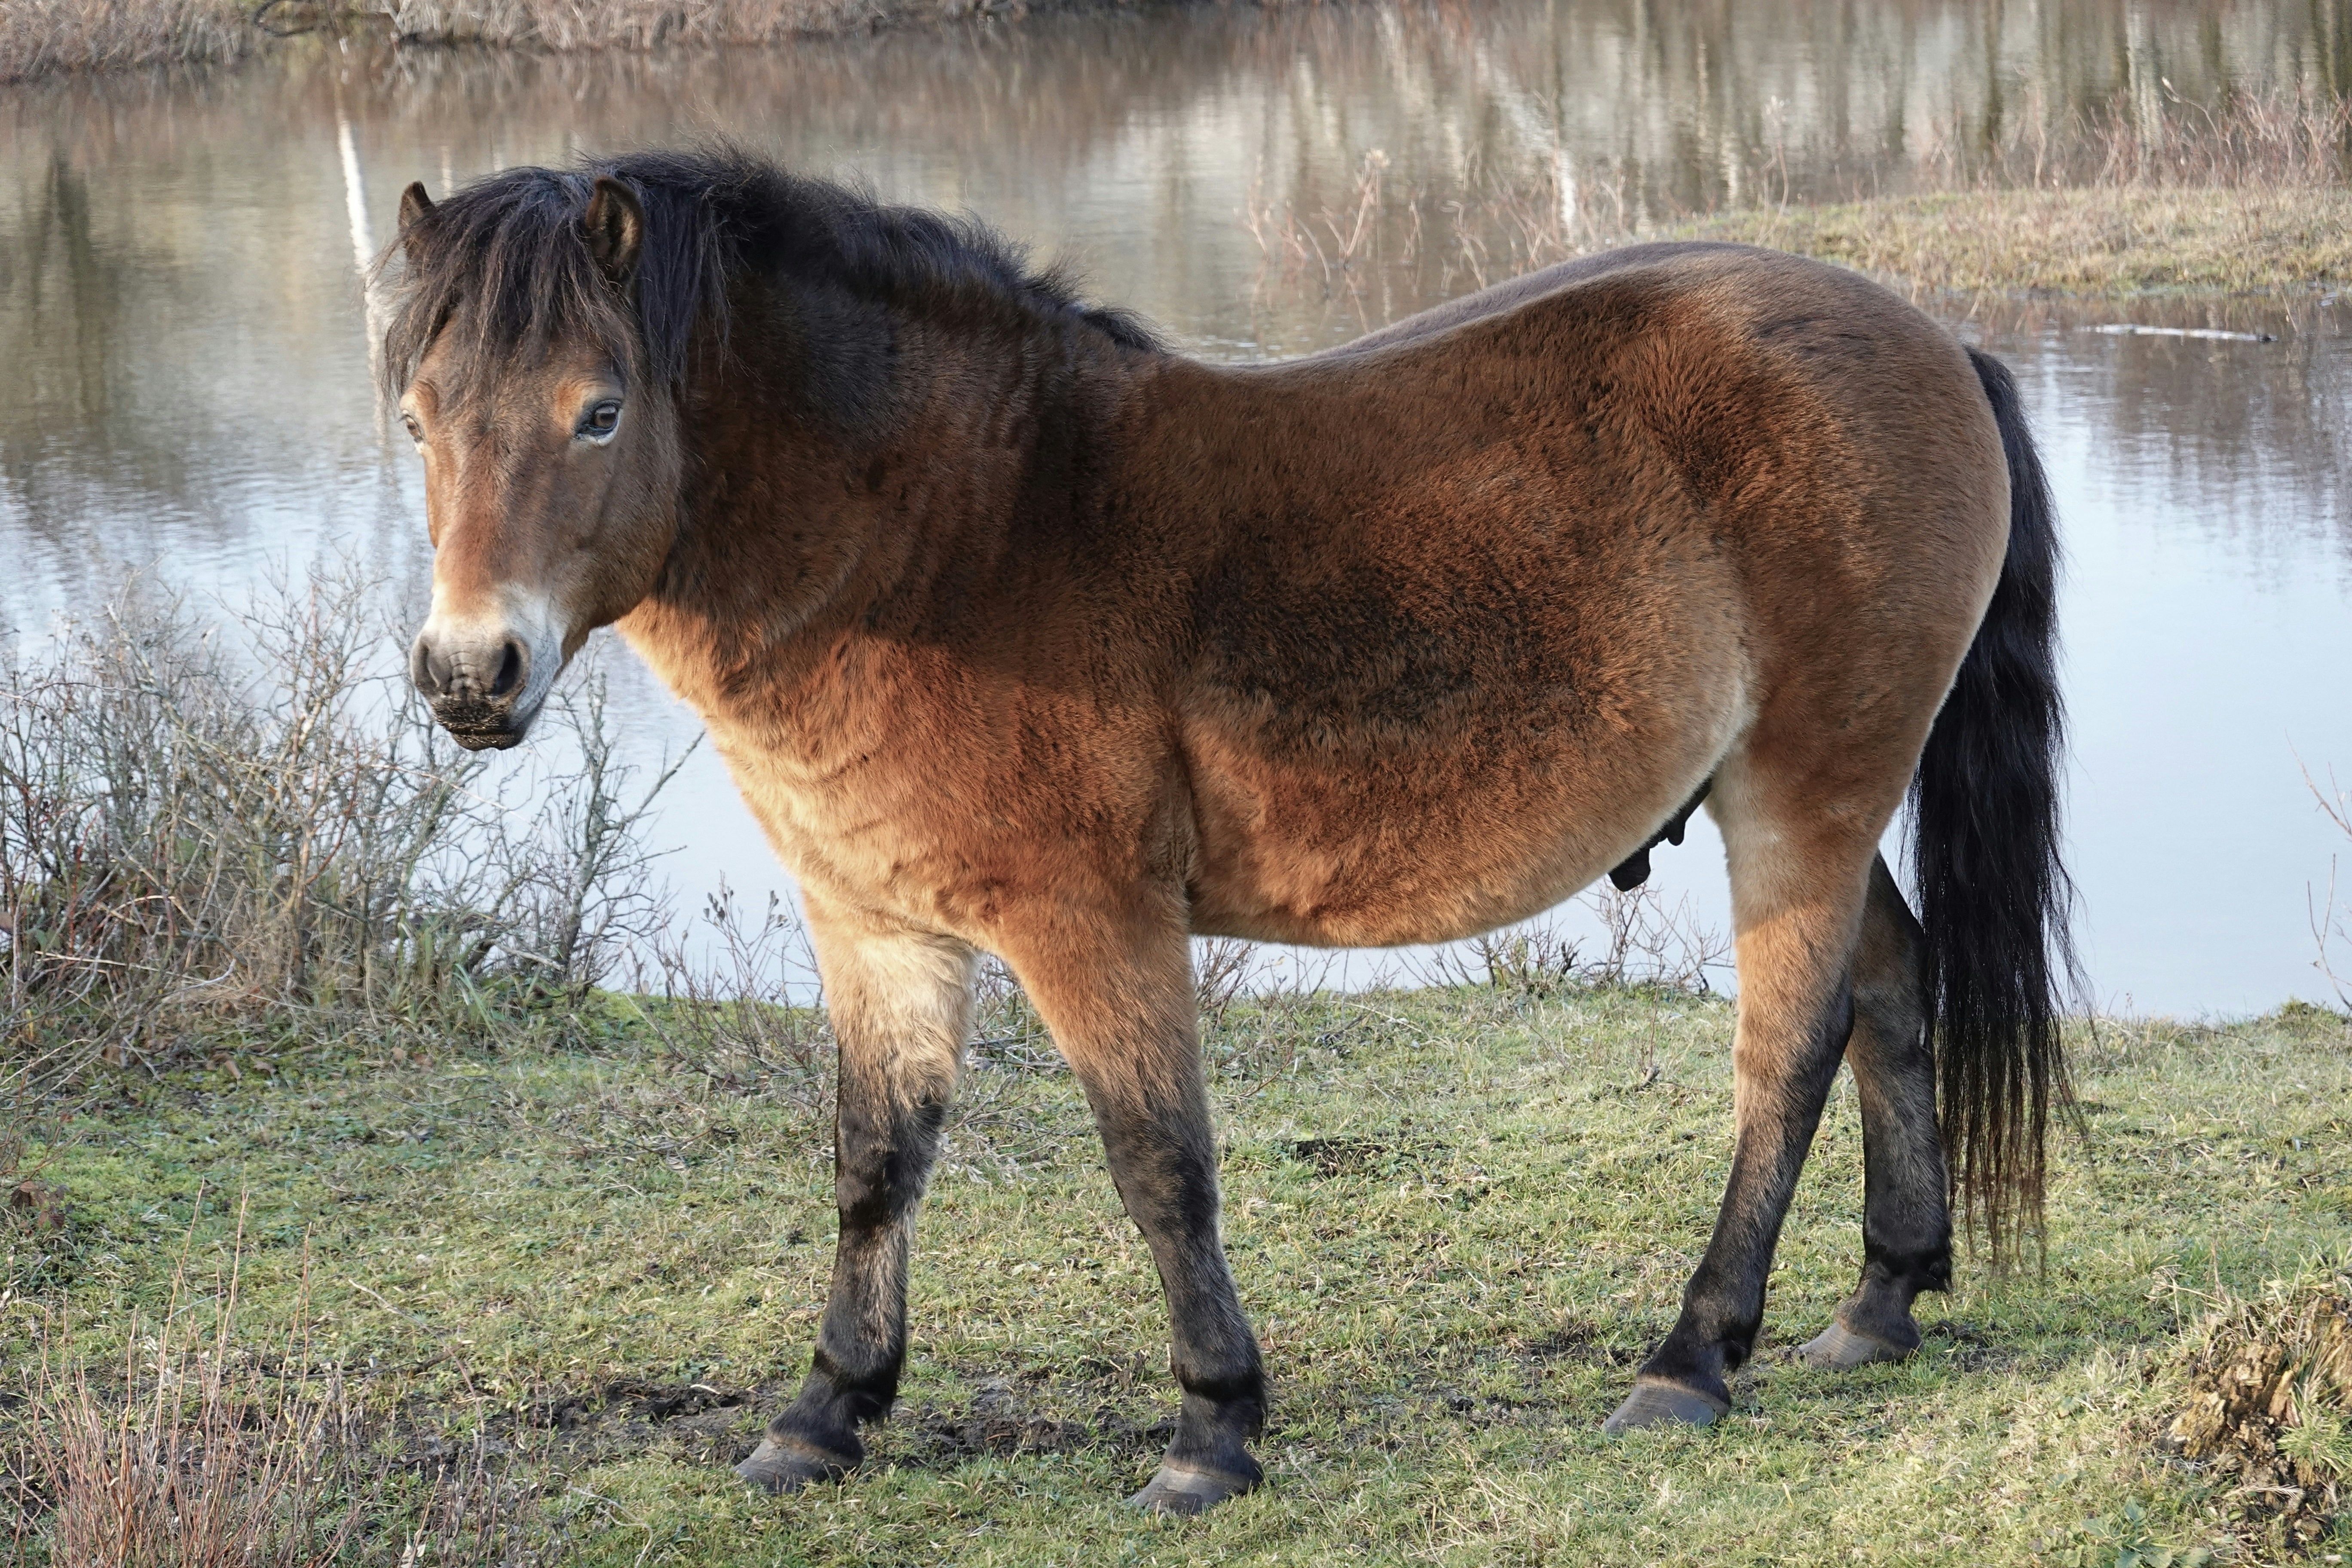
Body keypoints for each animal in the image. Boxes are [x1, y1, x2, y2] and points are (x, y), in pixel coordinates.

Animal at [376, 149, 2074, 1516]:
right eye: (416, 418)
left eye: (599, 412)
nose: (470, 674)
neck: (956, 530)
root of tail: (1935, 339)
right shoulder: (874, 924)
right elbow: (874, 1162)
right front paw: (824, 1414)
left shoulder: (1090, 920)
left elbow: (1157, 1163)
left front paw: (1212, 1430)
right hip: (1800, 803)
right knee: (1891, 990)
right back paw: (1881, 1299)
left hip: (1801, 797)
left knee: (1788, 1054)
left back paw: (1692, 1355)